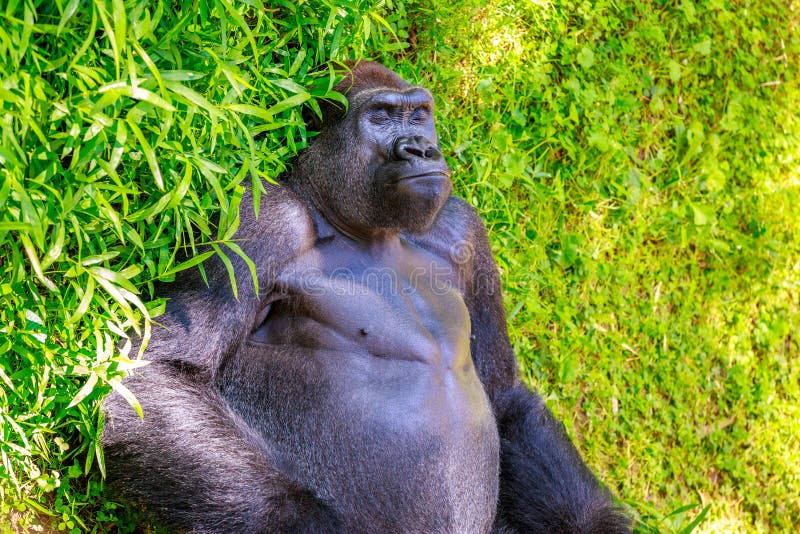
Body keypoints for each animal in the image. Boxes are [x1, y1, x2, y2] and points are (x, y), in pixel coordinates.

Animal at [102, 61, 630, 533]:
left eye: (418, 115)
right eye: (380, 116)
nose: (421, 148)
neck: (366, 229)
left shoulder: (463, 229)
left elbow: (503, 392)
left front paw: (593, 524)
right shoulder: (262, 218)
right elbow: (153, 369)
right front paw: (306, 525)